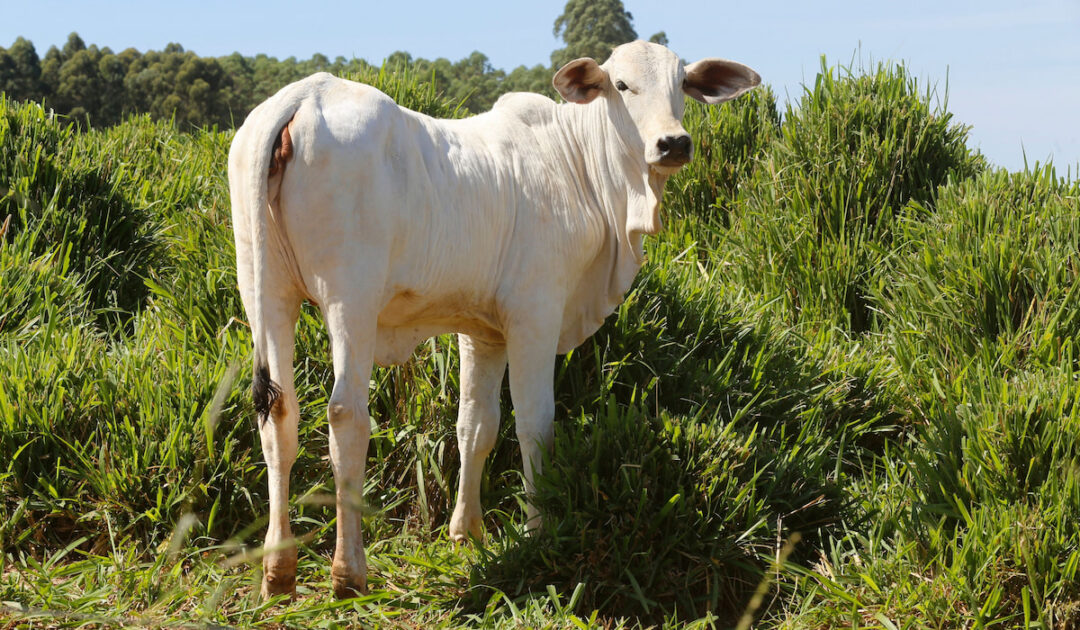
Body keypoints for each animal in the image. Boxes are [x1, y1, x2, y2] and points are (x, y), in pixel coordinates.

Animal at [228, 40, 760, 599]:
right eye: (621, 85)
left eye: (681, 85)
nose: (673, 143)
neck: (580, 166)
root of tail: (304, 95)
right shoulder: (534, 315)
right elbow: (534, 424)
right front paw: (539, 528)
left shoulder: (482, 333)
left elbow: (476, 425)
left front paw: (467, 531)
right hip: (350, 299)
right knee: (345, 415)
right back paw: (349, 572)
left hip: (265, 291)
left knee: (279, 415)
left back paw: (278, 571)